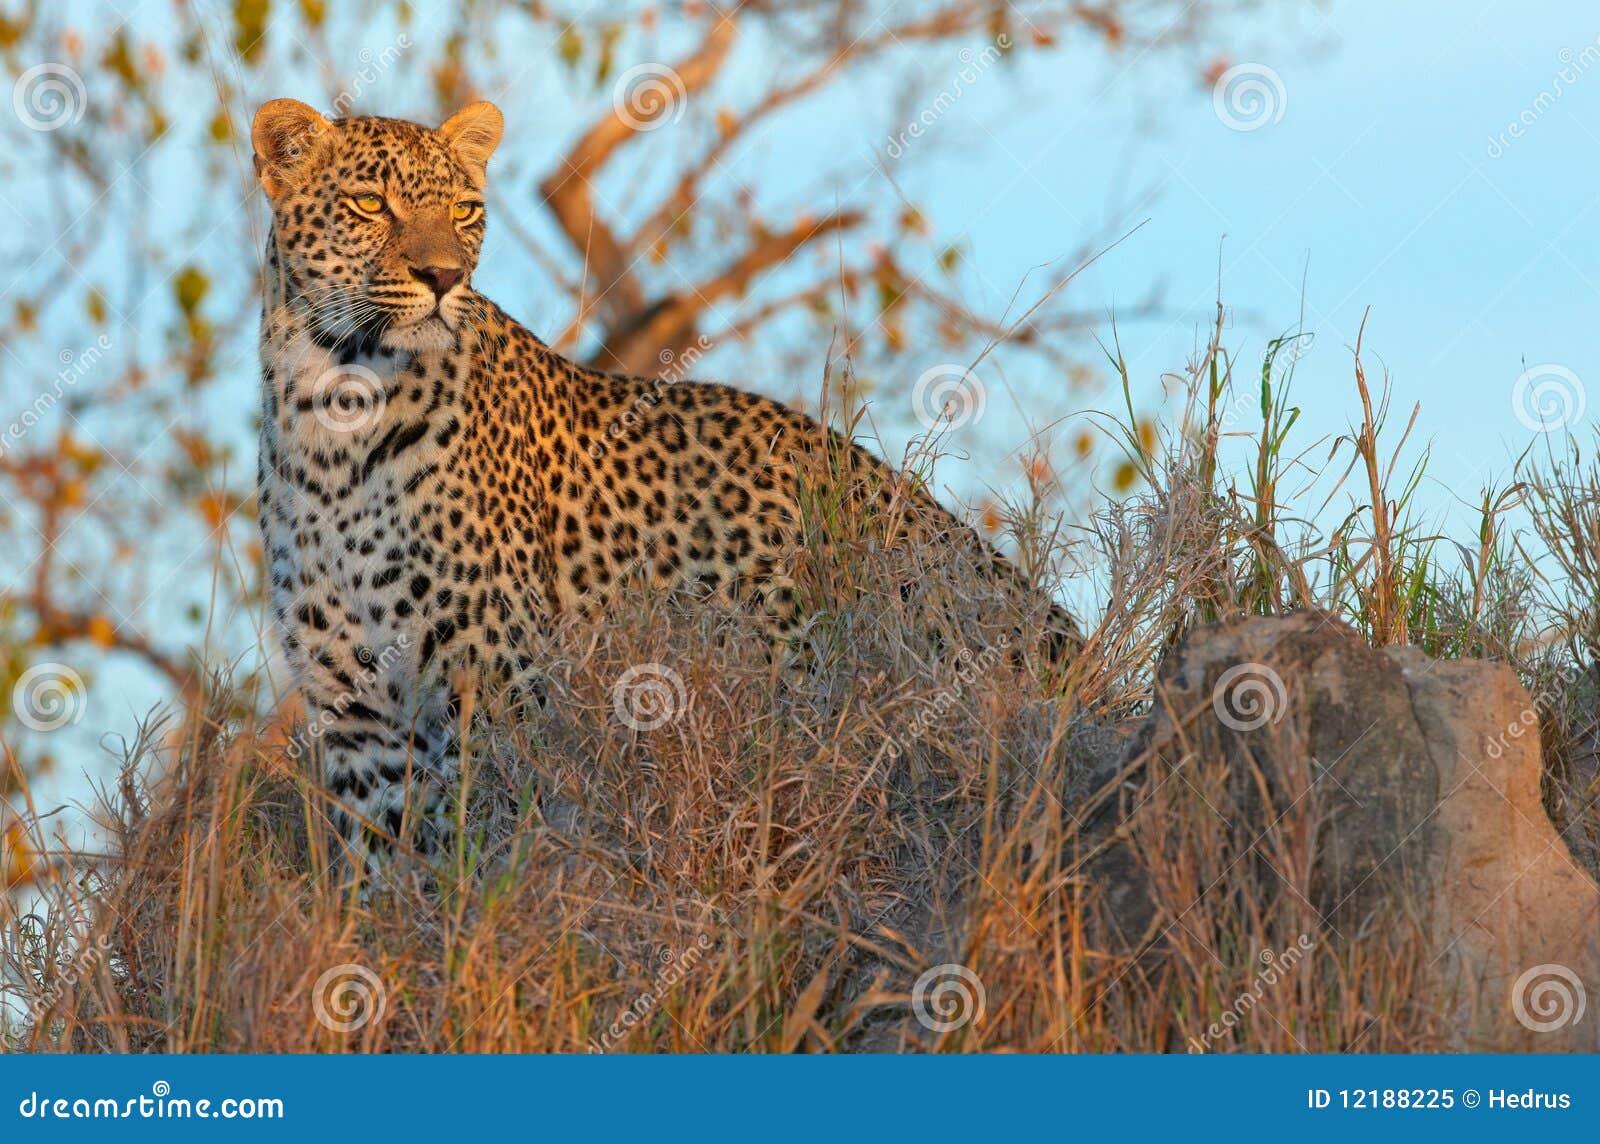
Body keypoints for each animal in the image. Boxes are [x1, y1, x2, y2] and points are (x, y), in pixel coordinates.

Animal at [252, 98, 1081, 882]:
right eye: (369, 203)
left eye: (464, 211)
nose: (444, 277)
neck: (338, 407)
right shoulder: (354, 710)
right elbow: (378, 869)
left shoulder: (498, 677)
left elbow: (491, 838)